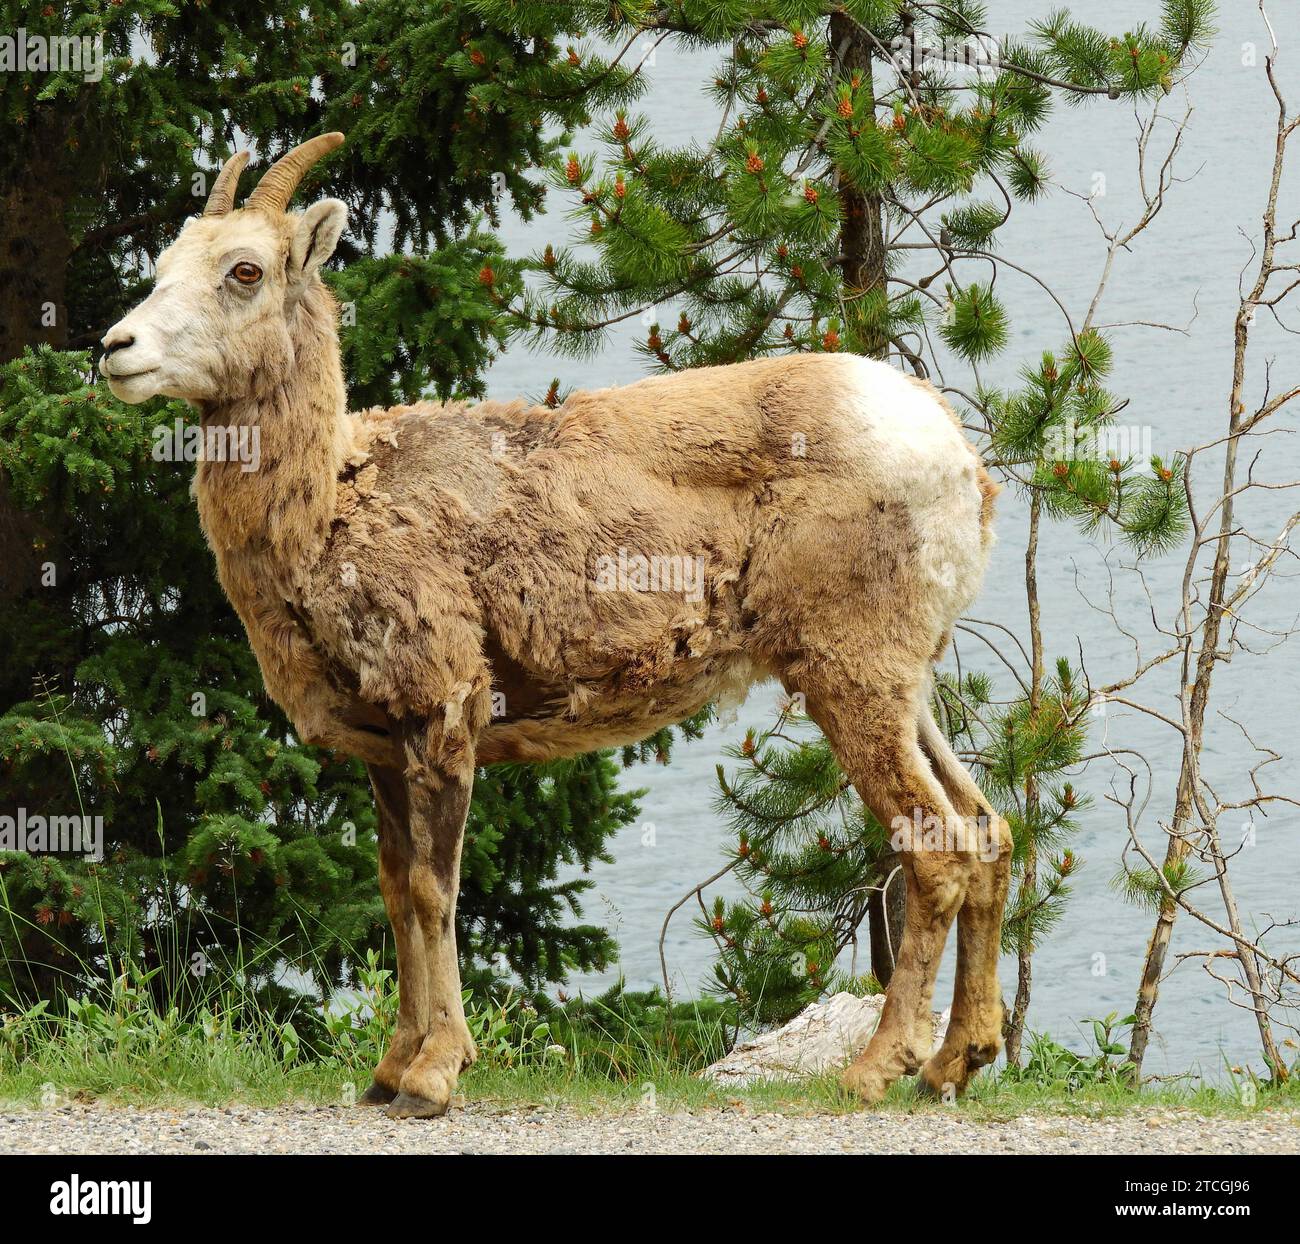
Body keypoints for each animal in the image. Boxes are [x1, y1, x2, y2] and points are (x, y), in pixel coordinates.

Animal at [99, 133, 1011, 1118]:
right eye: (161, 267)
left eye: (244, 270)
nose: (116, 349)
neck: (334, 507)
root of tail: (962, 467)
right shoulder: (382, 742)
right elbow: (394, 891)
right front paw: (386, 1073)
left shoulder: (444, 707)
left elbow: (434, 891)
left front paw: (434, 1076)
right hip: (905, 677)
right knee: (989, 831)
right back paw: (957, 1061)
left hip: (851, 670)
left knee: (938, 847)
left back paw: (878, 1069)